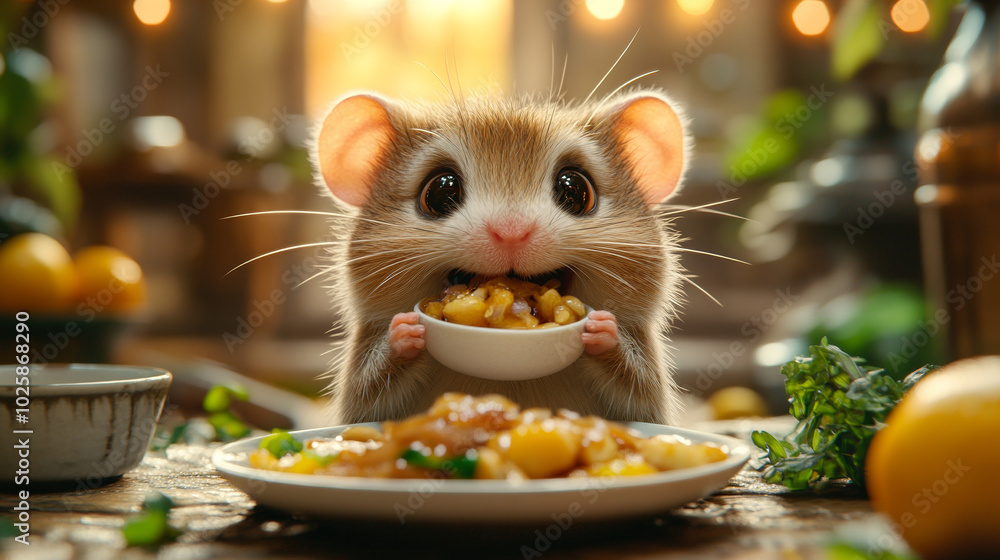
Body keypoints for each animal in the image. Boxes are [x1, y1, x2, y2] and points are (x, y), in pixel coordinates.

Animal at [312, 88, 691, 425]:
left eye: (575, 189)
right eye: (439, 191)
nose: (511, 232)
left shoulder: (646, 394)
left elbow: (634, 383)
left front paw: (602, 328)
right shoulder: (362, 393)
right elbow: (372, 386)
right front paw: (404, 331)